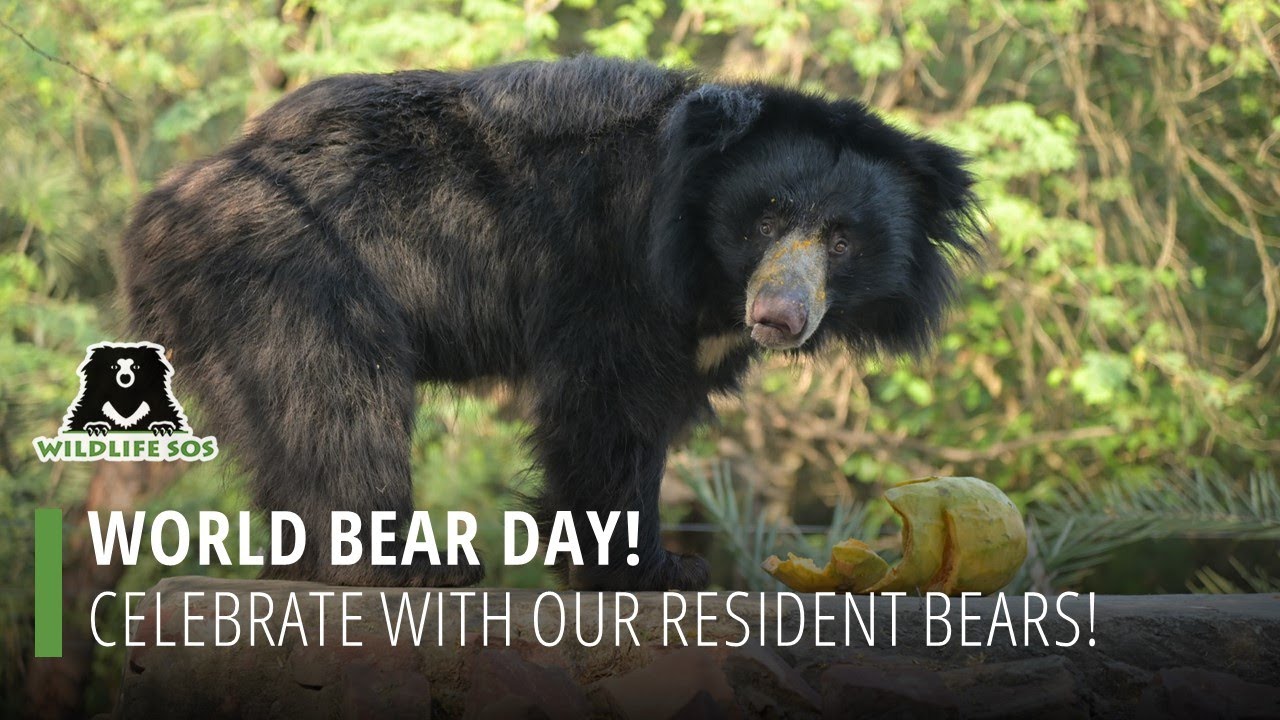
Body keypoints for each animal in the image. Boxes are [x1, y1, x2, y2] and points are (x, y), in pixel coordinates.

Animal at [120, 56, 981, 591]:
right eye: (765, 218)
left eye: (843, 239)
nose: (778, 317)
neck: (702, 265)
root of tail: (163, 206)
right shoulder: (611, 268)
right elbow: (607, 408)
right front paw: (656, 571)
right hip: (292, 267)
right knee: (334, 400)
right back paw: (413, 565)